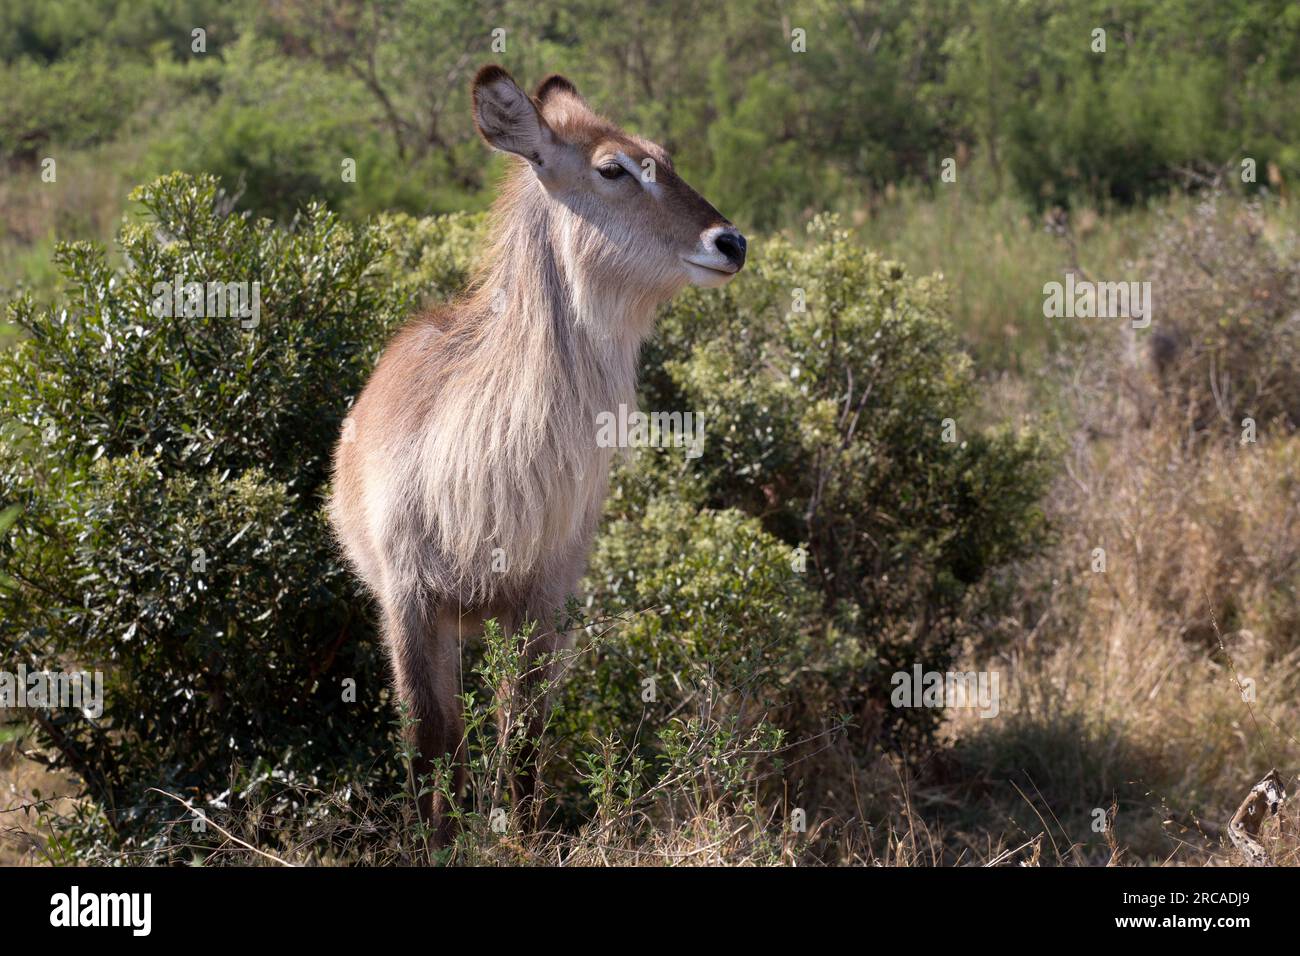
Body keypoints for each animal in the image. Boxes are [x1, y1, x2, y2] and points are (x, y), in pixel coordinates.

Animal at [328, 65, 747, 845]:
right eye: (613, 168)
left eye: (666, 158)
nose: (731, 242)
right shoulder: (409, 600)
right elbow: (428, 739)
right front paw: (433, 844)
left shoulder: (542, 599)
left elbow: (522, 733)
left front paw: (520, 838)